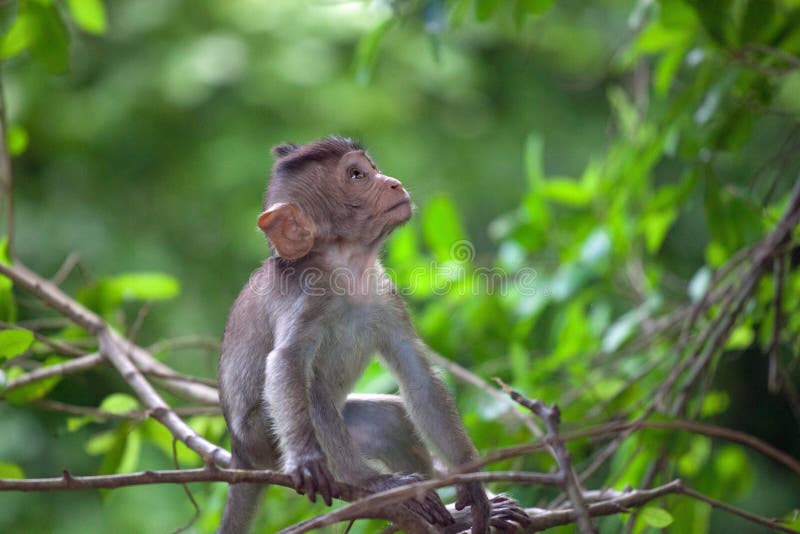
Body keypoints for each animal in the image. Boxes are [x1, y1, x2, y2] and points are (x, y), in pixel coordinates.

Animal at [217, 137, 525, 533]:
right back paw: (369, 481)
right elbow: (286, 361)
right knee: (311, 390)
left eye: (372, 169)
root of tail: (240, 452)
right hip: (263, 436)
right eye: (357, 175)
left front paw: (472, 485)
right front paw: (307, 460)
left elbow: (417, 376)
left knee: (392, 421)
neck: (346, 272)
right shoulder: (303, 297)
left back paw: (446, 518)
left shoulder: (383, 294)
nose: (392, 183)